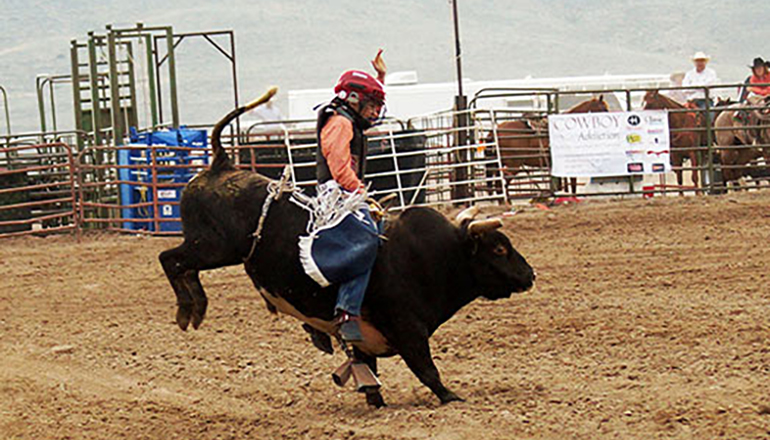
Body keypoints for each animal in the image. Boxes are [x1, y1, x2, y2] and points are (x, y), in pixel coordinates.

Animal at [159, 88, 536, 407]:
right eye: (499, 249)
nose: (530, 274)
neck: (437, 255)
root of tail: (221, 164)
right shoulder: (408, 329)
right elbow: (427, 370)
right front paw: (453, 398)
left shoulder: (365, 344)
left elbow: (371, 379)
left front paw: (377, 402)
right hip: (214, 247)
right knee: (170, 259)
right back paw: (188, 308)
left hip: (210, 247)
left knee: (183, 266)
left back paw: (195, 307)